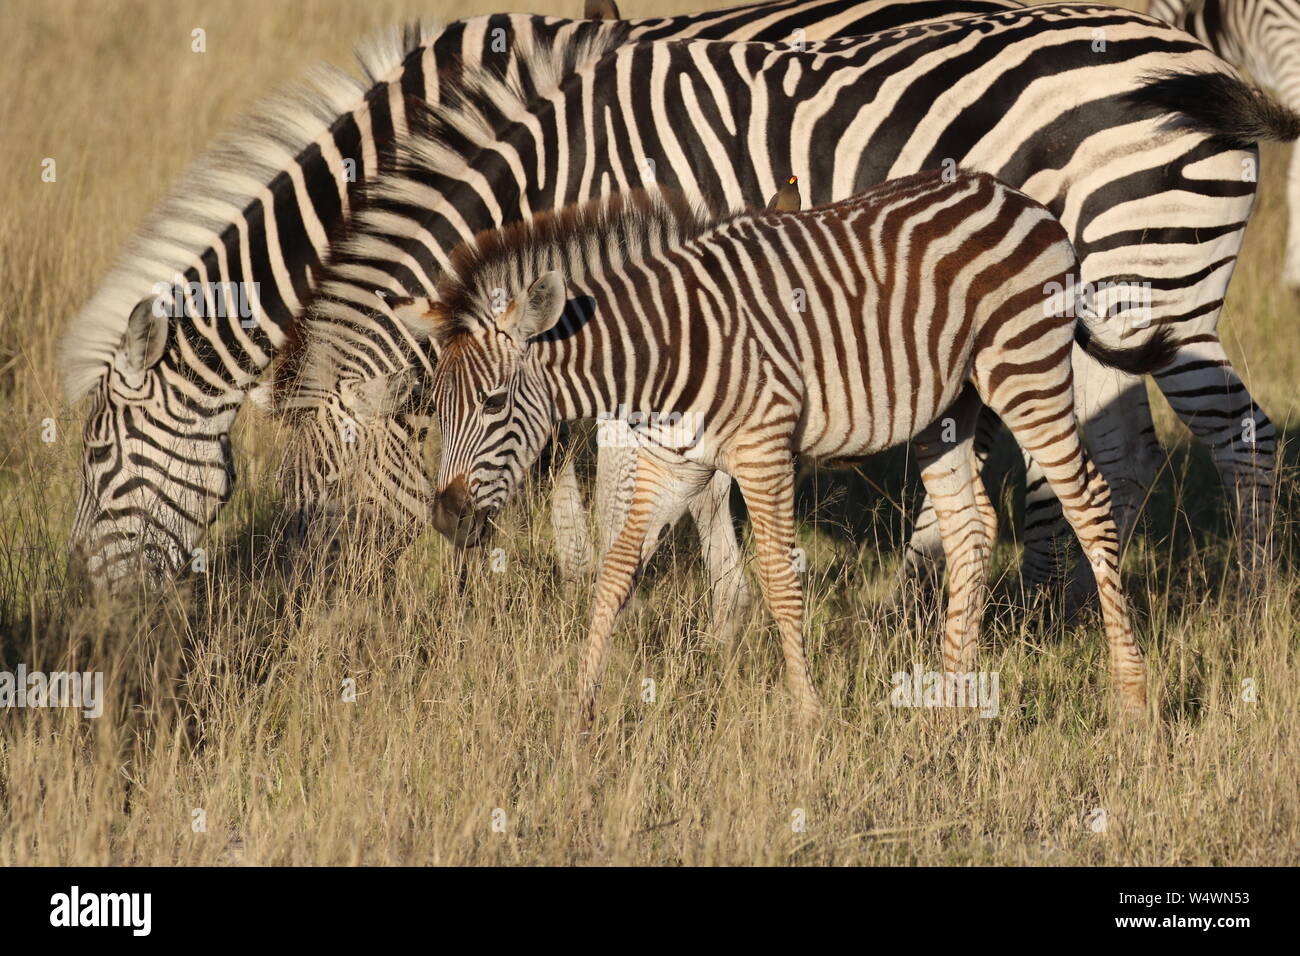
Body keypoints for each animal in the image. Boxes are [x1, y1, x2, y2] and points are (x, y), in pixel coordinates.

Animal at [410, 175, 1166, 723]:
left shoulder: (764, 451)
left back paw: (1131, 701)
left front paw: (806, 717)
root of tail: (1025, 200)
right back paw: (951, 706)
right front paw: (578, 707)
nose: (445, 518)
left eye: (493, 404)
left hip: (1024, 372)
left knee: (1089, 504)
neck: (667, 347)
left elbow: (778, 578)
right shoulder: (673, 463)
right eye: (435, 409)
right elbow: (617, 571)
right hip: (947, 406)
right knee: (972, 526)